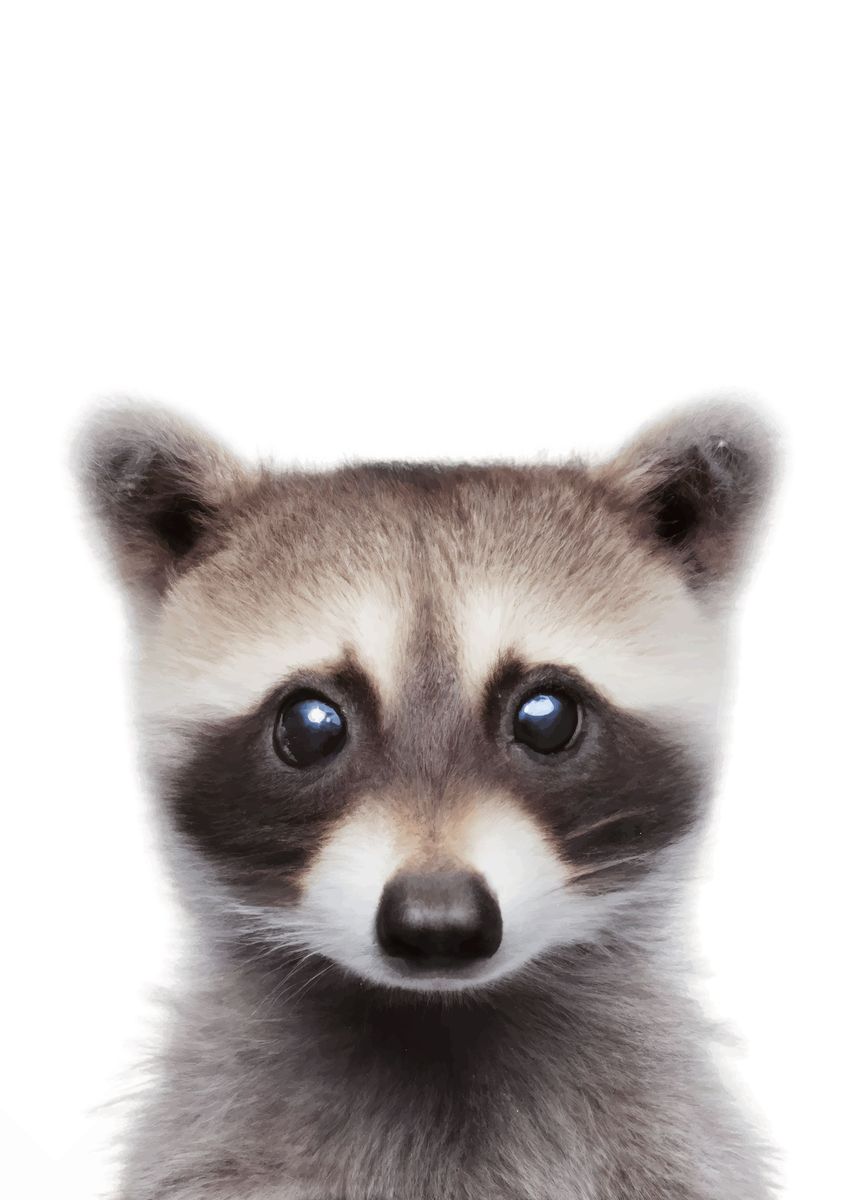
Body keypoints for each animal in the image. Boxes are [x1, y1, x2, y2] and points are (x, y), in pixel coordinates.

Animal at [76, 400, 778, 1200]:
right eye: (310, 724)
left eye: (546, 716)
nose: (438, 923)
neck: (440, 1021)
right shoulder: (211, 1150)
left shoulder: (671, 1149)